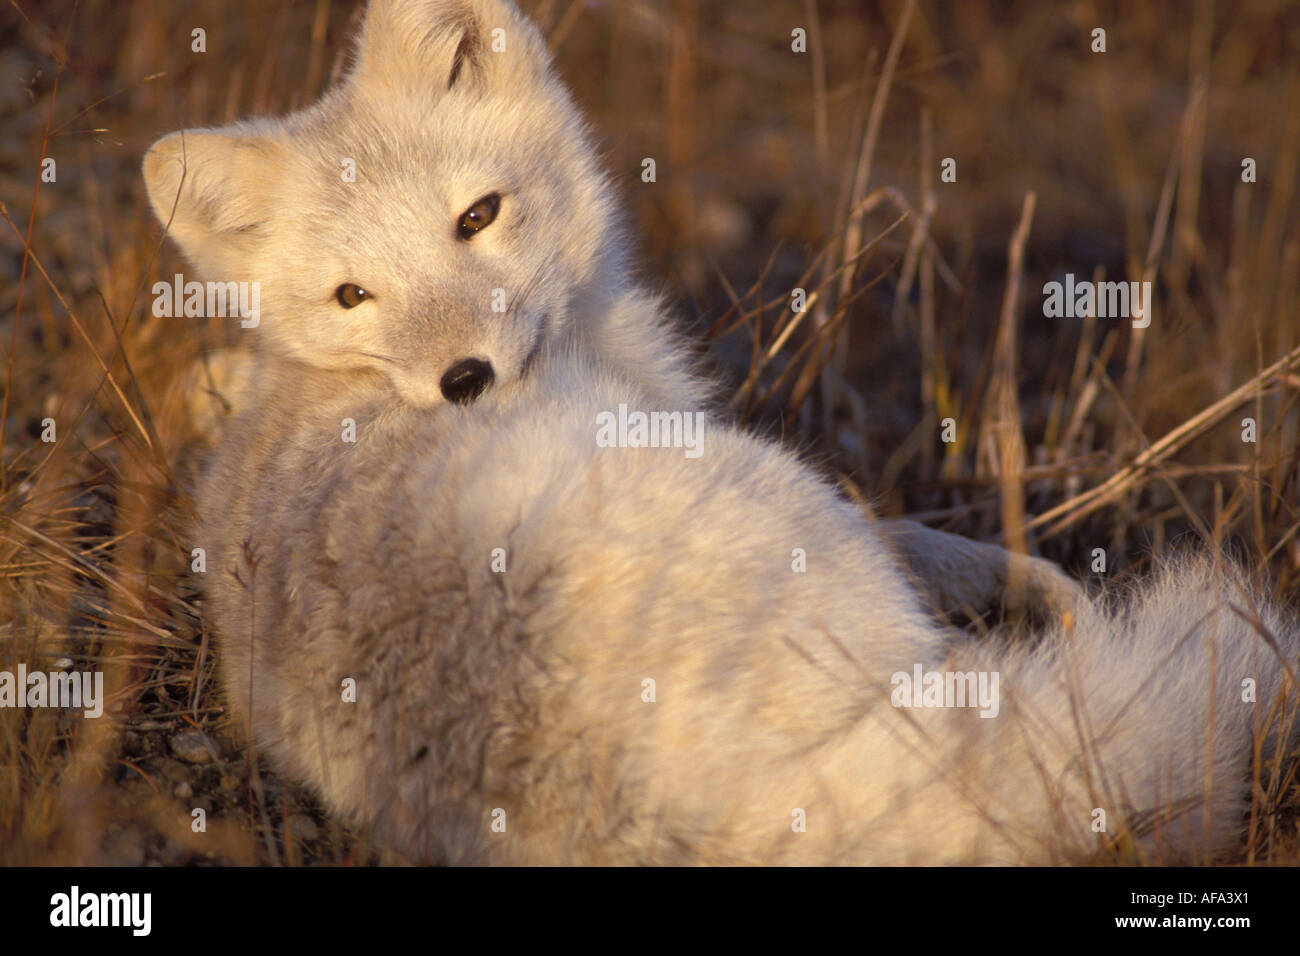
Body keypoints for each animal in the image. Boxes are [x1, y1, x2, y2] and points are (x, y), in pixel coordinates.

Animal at [142, 0, 1299, 864]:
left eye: (478, 216)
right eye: (354, 296)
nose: (463, 379)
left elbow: (915, 531)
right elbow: (905, 534)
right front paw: (1034, 589)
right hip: (782, 503)